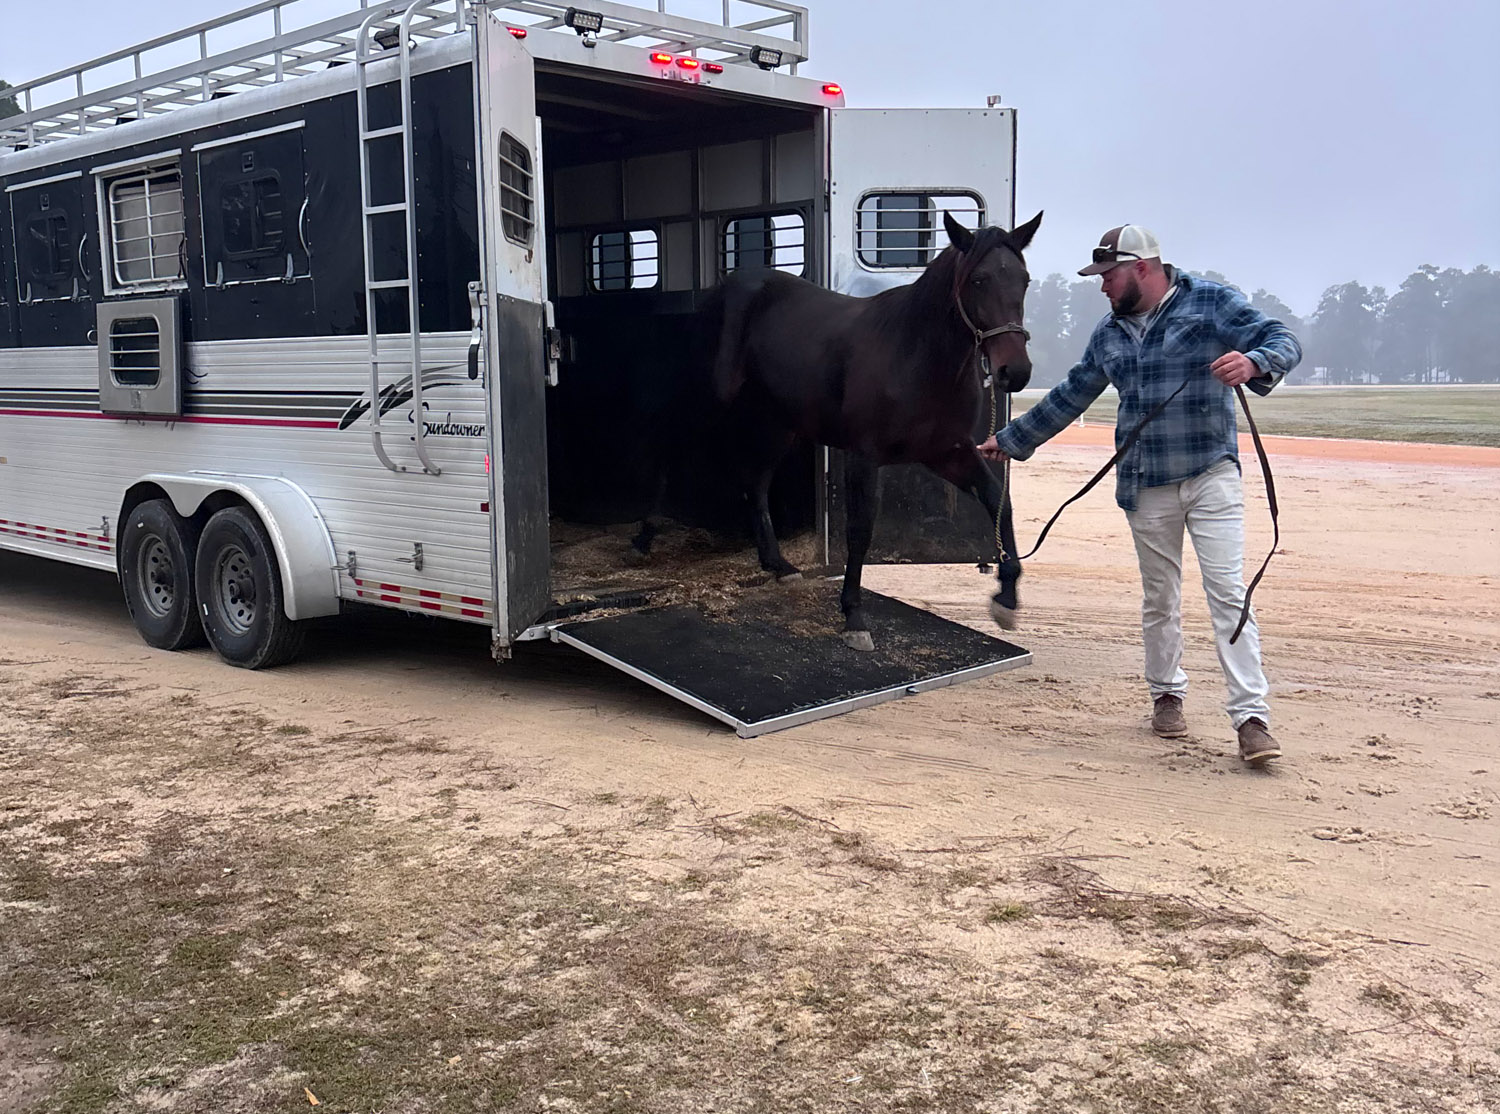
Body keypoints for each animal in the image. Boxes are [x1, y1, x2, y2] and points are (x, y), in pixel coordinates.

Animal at [640, 210, 1041, 651]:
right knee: (669, 439)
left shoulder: (948, 452)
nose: (1015, 372)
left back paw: (778, 564)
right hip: (708, 400)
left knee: (755, 483)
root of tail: (722, 291)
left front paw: (1006, 596)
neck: (916, 354)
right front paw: (854, 616)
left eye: (1024, 279)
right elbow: (860, 529)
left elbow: (997, 499)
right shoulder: (864, 457)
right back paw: (644, 535)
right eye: (978, 280)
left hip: (777, 424)